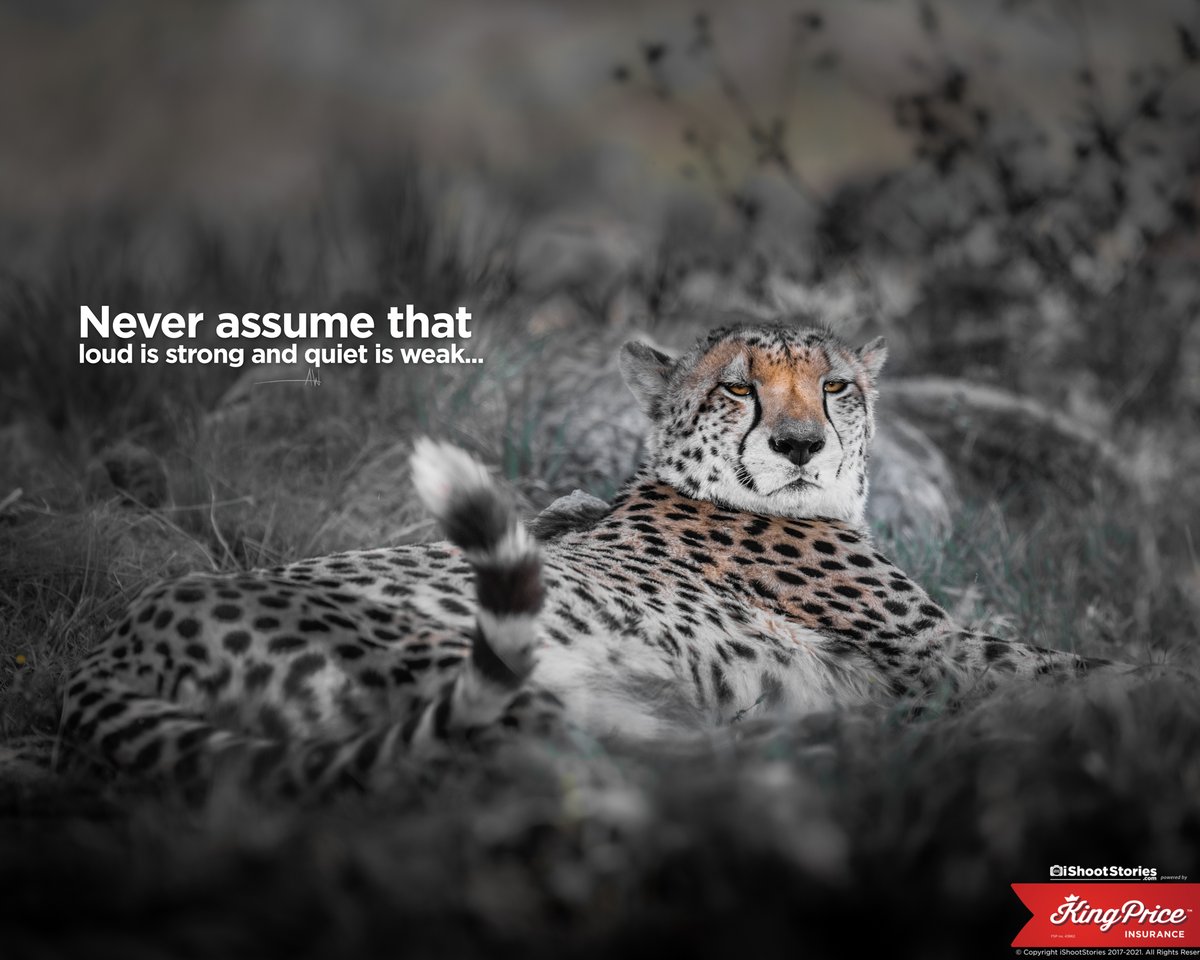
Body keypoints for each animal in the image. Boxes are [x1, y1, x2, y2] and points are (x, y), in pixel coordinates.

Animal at [59, 321, 1131, 794]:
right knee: (580, 763)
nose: (799, 447)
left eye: (834, 387)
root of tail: (123, 636)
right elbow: (1099, 668)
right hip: (486, 664)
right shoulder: (945, 655)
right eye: (739, 388)